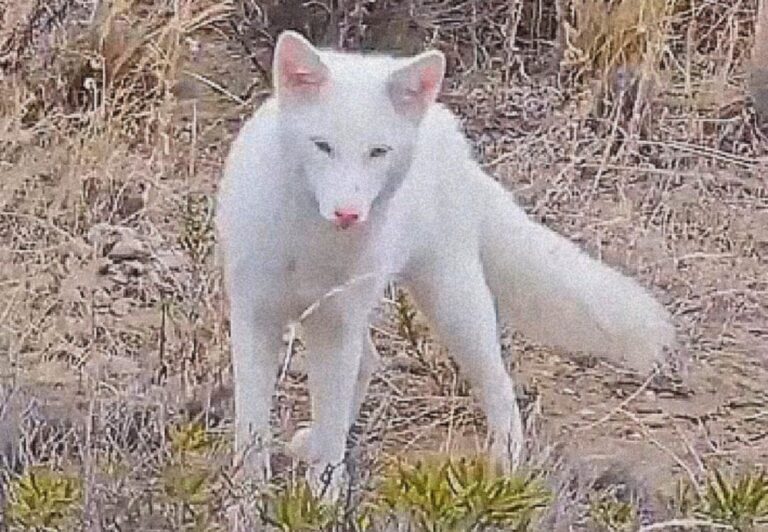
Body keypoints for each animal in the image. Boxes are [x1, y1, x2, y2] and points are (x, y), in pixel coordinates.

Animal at [215, 30, 675, 498]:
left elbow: (329, 449)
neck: (311, 247)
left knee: (499, 388)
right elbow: (252, 436)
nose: (348, 214)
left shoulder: (335, 324)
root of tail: (449, 131)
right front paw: (246, 503)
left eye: (377, 152)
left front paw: (319, 504)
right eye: (322, 145)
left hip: (452, 303)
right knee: (370, 364)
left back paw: (505, 474)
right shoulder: (256, 316)